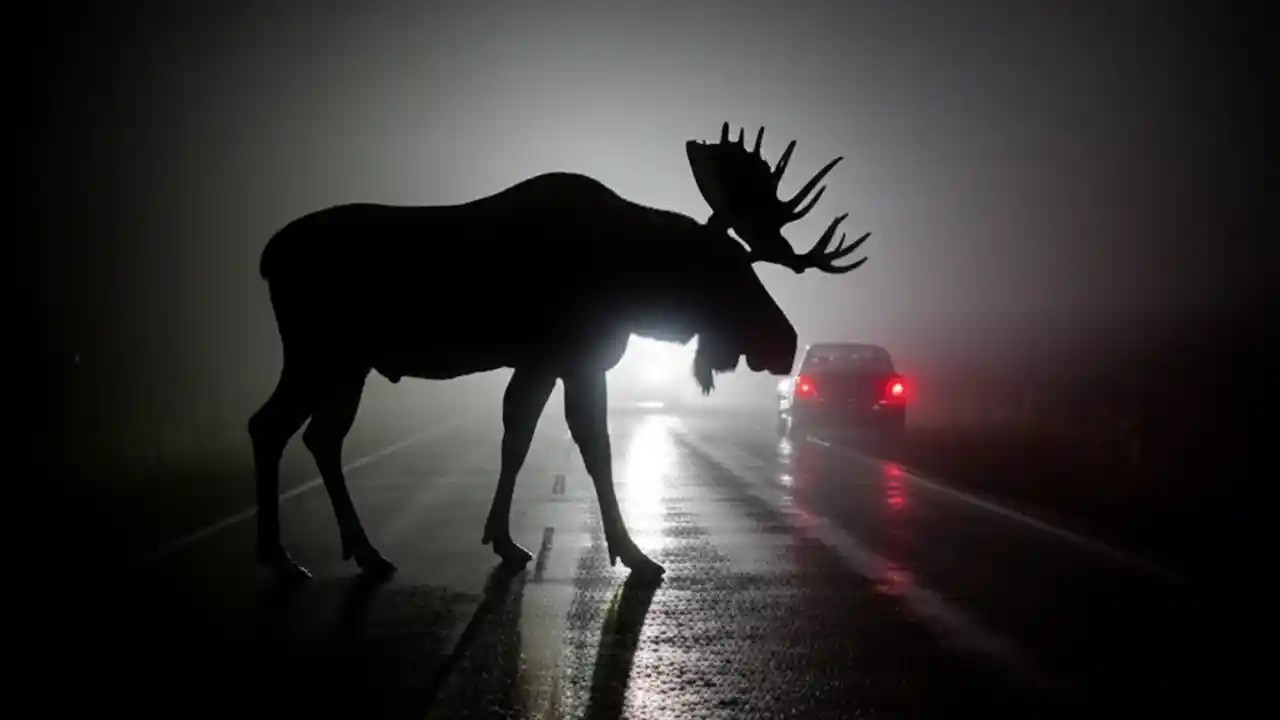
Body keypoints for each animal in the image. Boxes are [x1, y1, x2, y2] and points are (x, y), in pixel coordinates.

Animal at [248, 122, 870, 582]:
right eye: (733, 268)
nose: (786, 341)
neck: (633, 280)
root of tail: (267, 256)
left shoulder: (541, 362)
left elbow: (518, 439)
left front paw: (503, 538)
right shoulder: (577, 359)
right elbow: (593, 446)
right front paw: (633, 553)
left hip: (344, 364)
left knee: (311, 435)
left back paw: (354, 551)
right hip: (321, 353)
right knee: (275, 427)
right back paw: (285, 556)